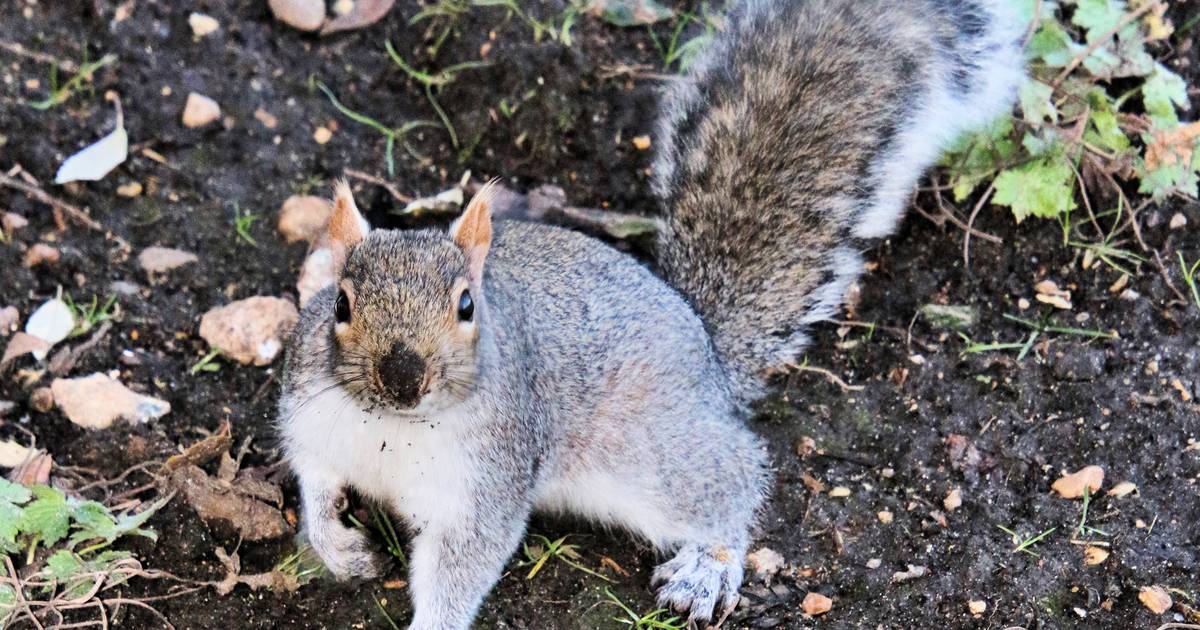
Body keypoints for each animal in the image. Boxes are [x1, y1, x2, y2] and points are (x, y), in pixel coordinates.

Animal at [279, 0, 1025, 627]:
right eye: (340, 302)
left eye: (466, 305)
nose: (403, 378)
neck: (392, 431)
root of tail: (708, 353)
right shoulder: (312, 421)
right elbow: (313, 484)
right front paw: (335, 543)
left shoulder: (485, 484)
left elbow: (462, 566)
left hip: (650, 454)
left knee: (733, 477)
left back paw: (707, 567)